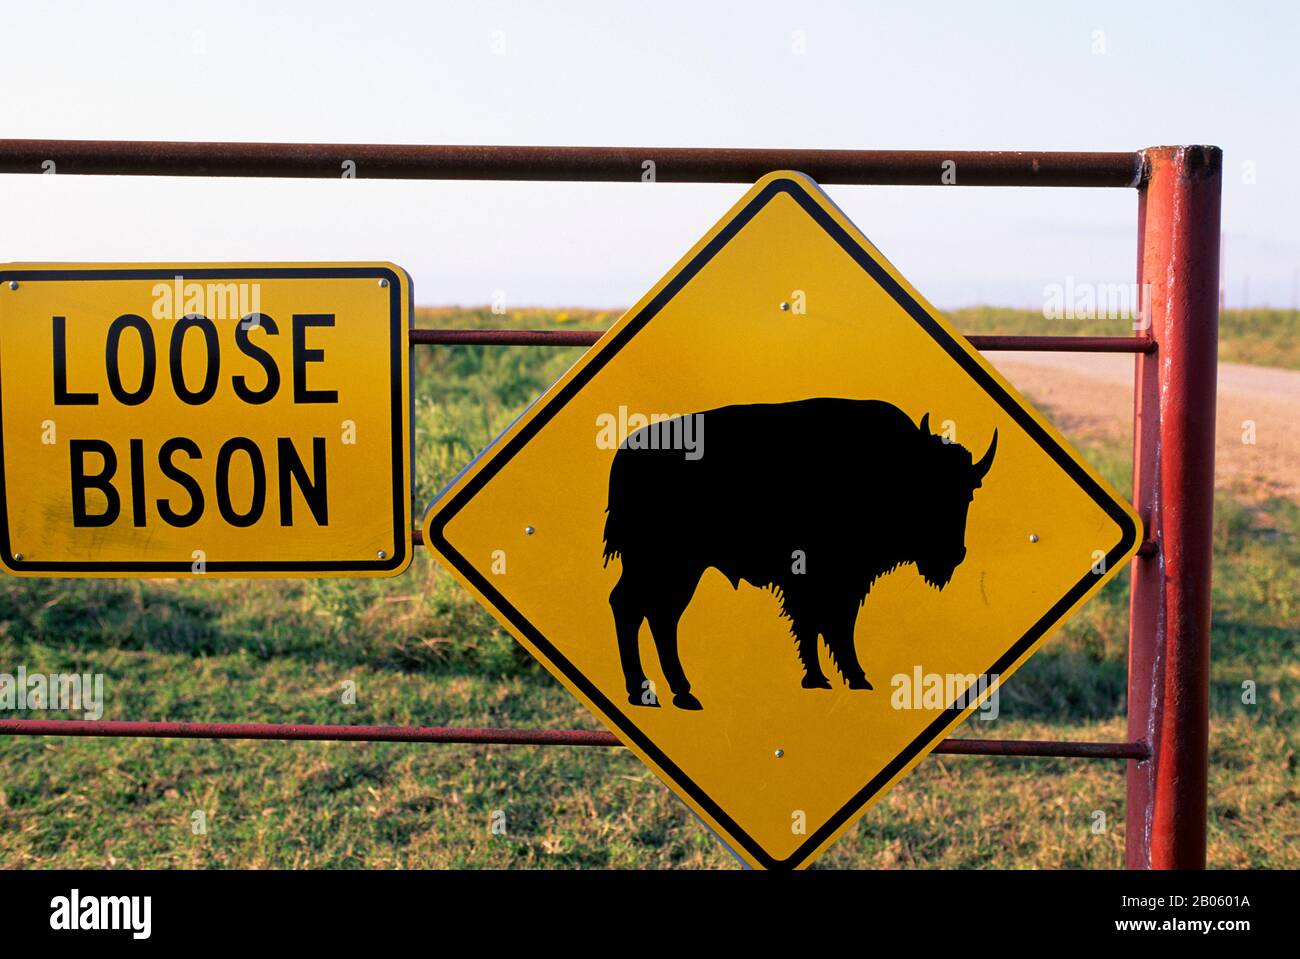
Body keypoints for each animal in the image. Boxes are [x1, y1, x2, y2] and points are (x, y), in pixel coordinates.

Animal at [602, 398, 996, 710]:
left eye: (968, 492)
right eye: (927, 489)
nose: (953, 554)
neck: (893, 465)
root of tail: (626, 454)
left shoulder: (834, 582)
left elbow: (822, 625)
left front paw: (827, 678)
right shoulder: (826, 579)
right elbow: (831, 625)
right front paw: (850, 678)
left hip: (678, 570)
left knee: (657, 615)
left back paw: (678, 694)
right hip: (662, 566)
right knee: (634, 608)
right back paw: (647, 693)